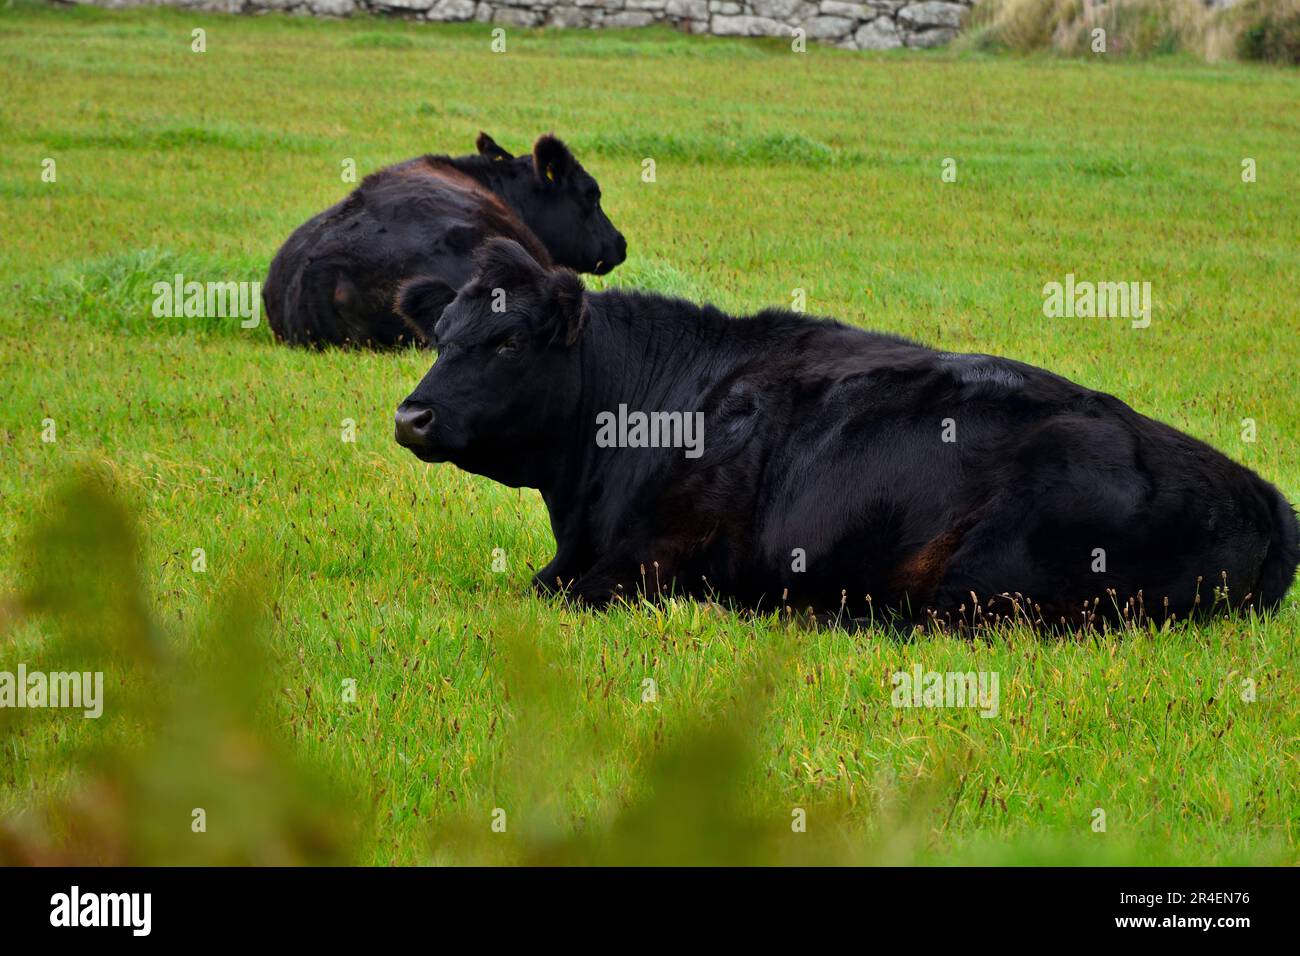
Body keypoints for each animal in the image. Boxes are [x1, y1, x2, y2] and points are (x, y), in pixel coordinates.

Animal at [392, 239, 1299, 632]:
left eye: (508, 342)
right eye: (440, 335)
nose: (411, 416)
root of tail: (1259, 492)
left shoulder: (651, 558)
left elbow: (556, 593)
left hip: (987, 577)